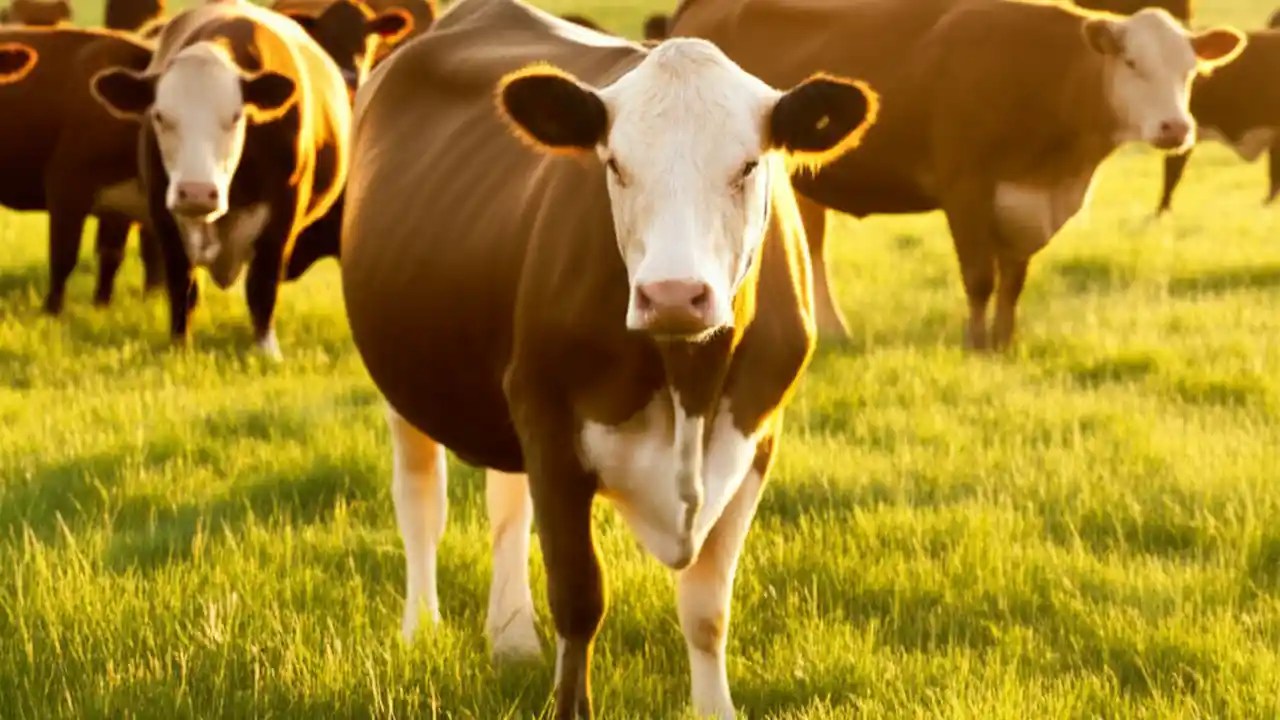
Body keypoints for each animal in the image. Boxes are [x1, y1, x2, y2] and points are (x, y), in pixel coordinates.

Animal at [0, 28, 160, 313]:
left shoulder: (121, 206)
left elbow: (111, 257)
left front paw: (102, 307)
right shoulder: (66, 188)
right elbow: (63, 257)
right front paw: (52, 311)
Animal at [91, 0, 351, 359]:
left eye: (236, 116)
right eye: (160, 116)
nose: (197, 193)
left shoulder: (284, 214)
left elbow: (262, 286)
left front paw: (267, 352)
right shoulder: (163, 211)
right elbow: (182, 283)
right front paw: (180, 346)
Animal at [341, 0, 876, 716]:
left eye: (748, 165)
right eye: (616, 165)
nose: (673, 294)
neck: (688, 382)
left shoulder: (757, 435)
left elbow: (708, 609)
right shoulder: (550, 424)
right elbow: (579, 599)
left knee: (507, 503)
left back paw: (512, 639)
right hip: (407, 380)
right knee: (422, 501)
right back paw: (421, 630)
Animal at [672, 0, 1244, 350]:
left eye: (1191, 71)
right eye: (1131, 63)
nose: (1176, 127)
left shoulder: (1027, 202)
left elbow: (1013, 281)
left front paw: (1005, 343)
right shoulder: (966, 188)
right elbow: (980, 277)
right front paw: (975, 344)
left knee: (811, 248)